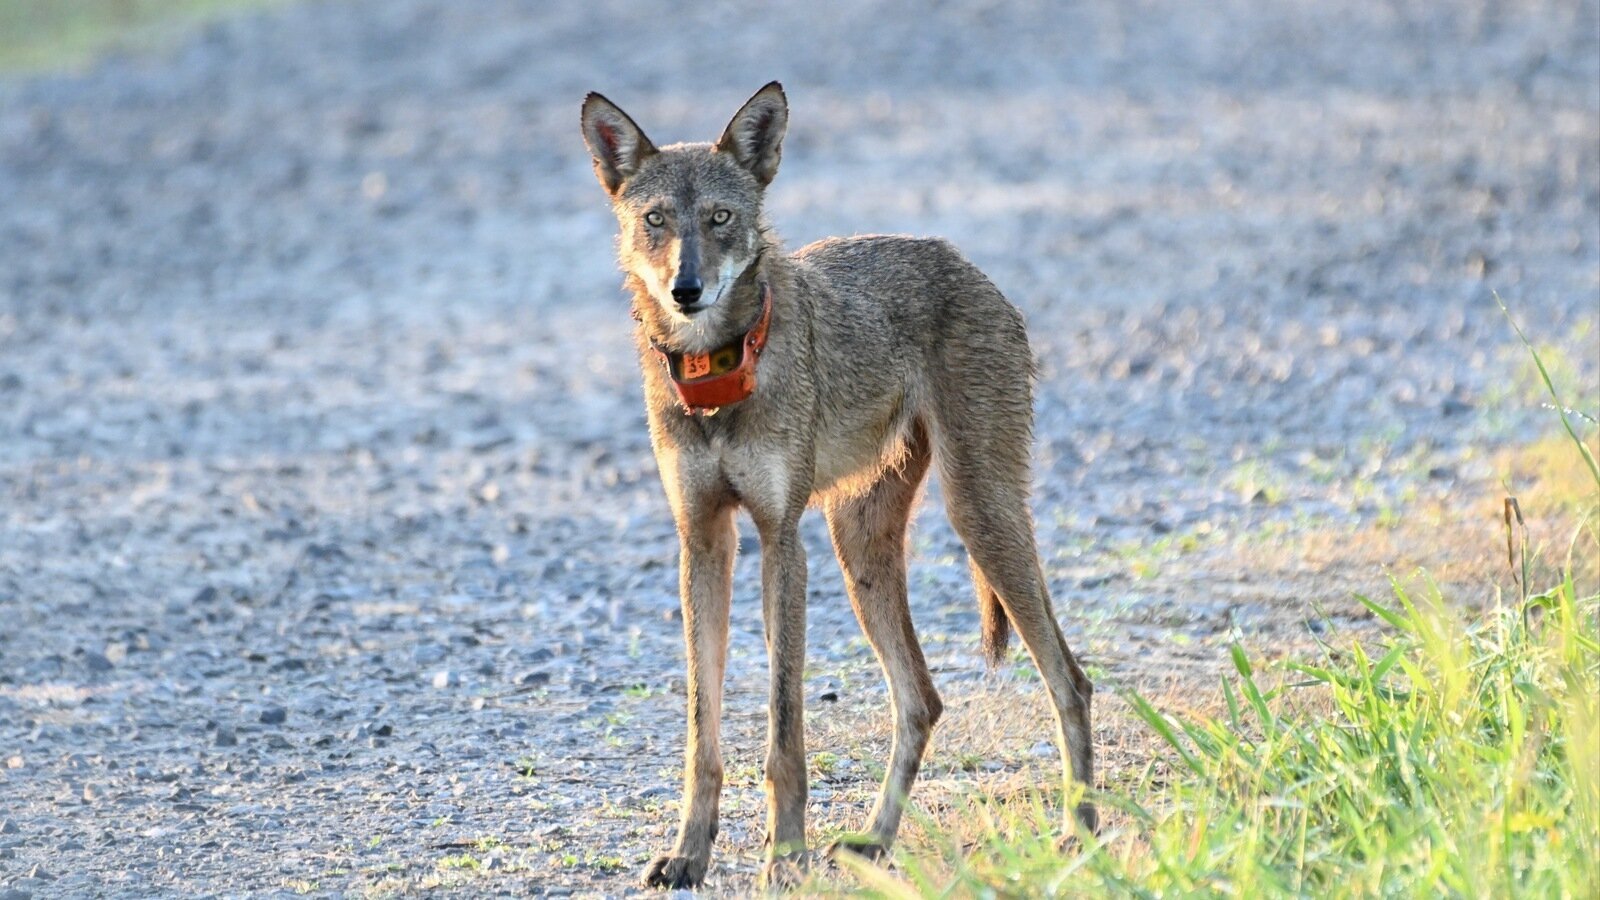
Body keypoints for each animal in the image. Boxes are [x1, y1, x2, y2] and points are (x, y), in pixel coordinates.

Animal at [580, 82, 1095, 890]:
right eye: (655, 220)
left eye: (720, 218)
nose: (686, 290)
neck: (716, 375)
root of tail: (963, 262)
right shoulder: (704, 542)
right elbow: (703, 735)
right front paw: (690, 852)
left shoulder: (782, 542)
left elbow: (784, 732)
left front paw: (784, 855)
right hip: (862, 554)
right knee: (923, 700)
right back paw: (874, 842)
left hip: (977, 515)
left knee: (1070, 682)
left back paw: (1081, 834)